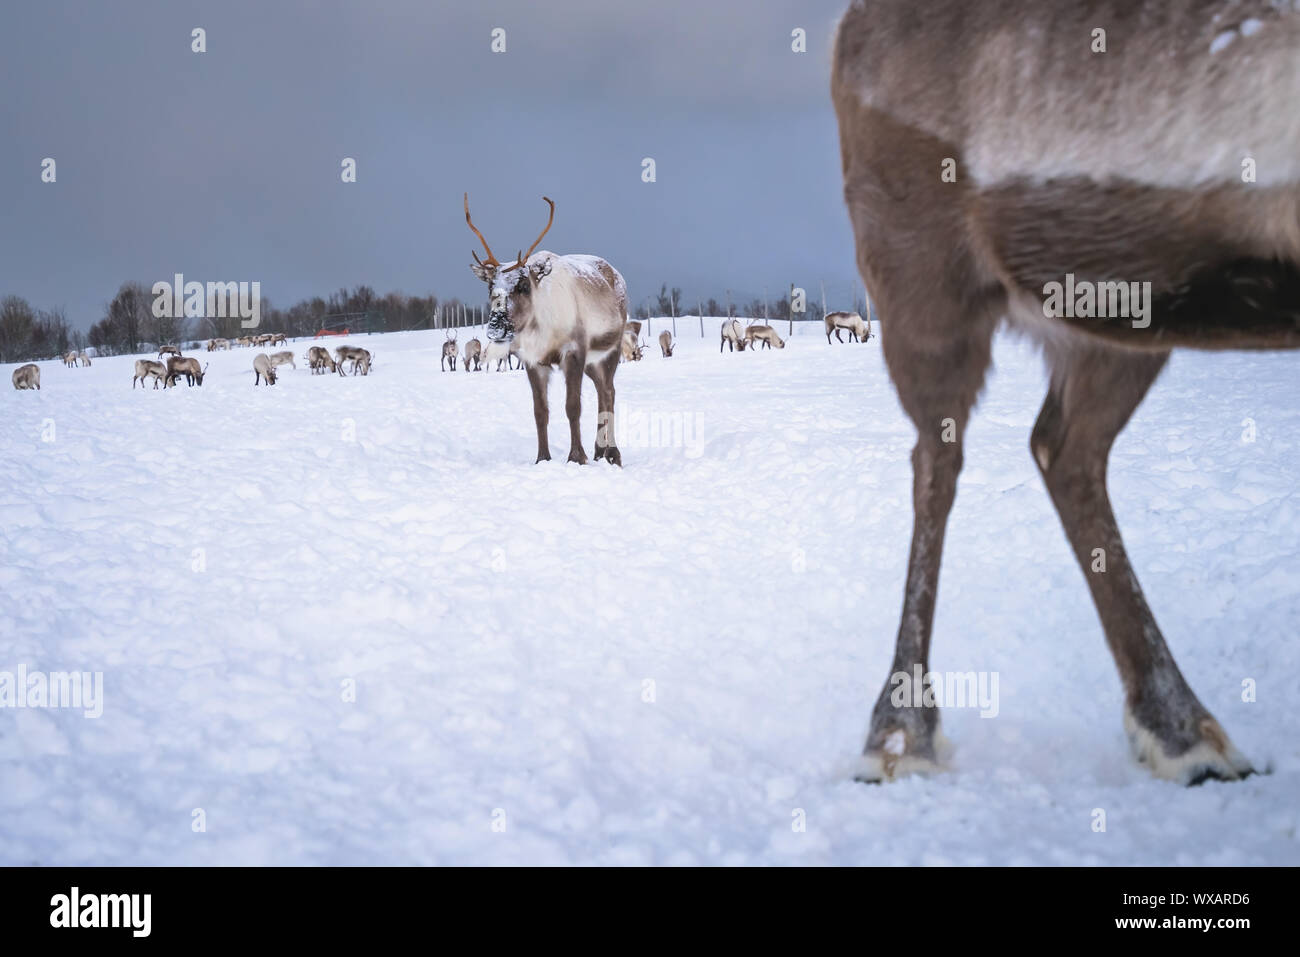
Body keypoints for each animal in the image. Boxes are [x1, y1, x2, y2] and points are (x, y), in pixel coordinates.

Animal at [466, 193, 626, 465]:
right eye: (490, 287)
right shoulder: (533, 360)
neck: (541, 331)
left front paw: (576, 457)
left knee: (609, 392)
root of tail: (616, 274)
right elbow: (540, 411)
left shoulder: (573, 352)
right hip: (592, 362)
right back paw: (599, 451)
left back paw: (612, 453)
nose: (497, 326)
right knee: (602, 391)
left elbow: (573, 407)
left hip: (610, 350)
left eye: (523, 285)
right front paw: (543, 458)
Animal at [832, 0, 1300, 786]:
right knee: (938, 461)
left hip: (1118, 318)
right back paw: (899, 733)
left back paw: (1180, 730)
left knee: (1063, 447)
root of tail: (849, 24)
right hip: (926, 281)